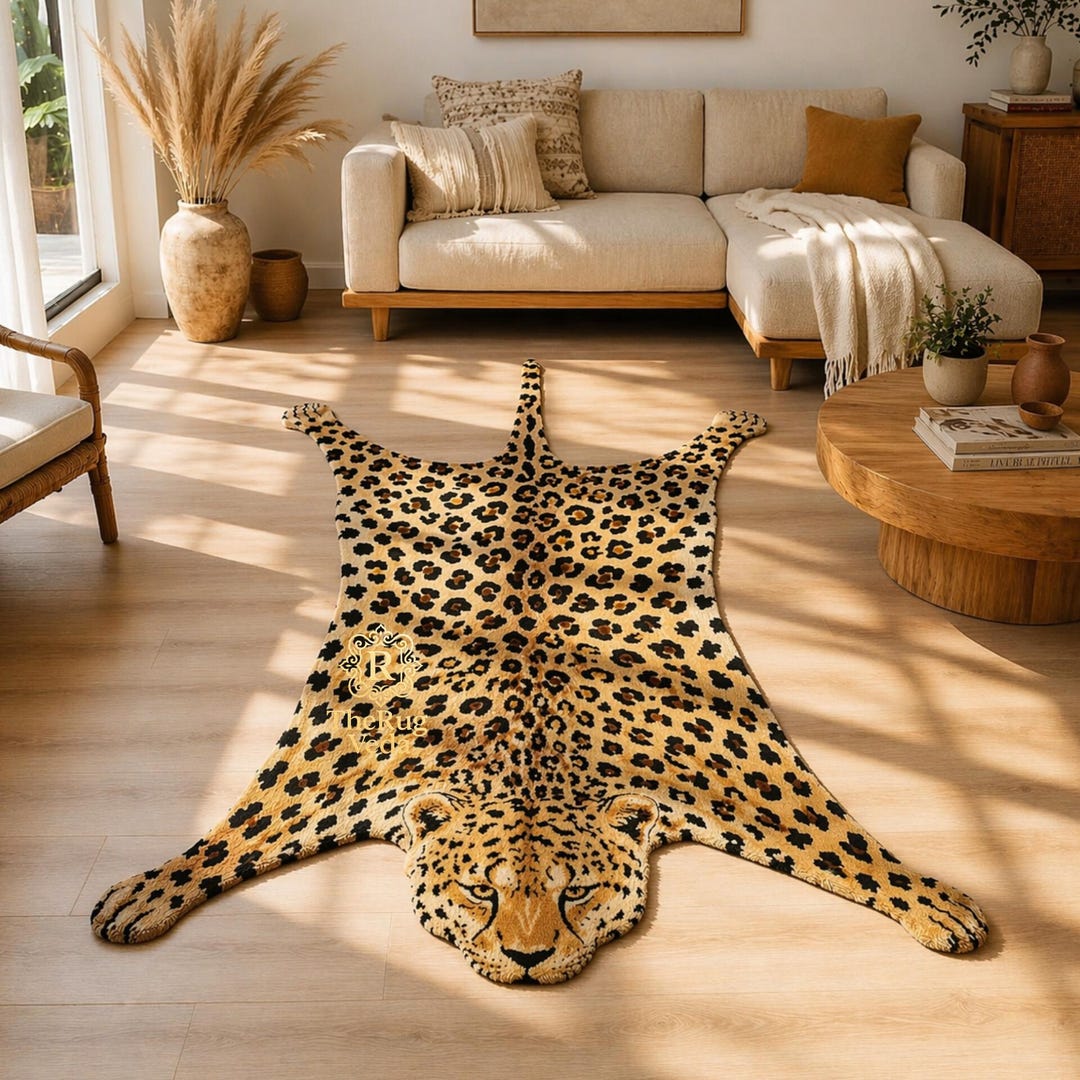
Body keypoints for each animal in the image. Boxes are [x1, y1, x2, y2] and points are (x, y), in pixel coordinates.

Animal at [91, 361, 987, 981]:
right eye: (478, 892)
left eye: (578, 892)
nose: (527, 963)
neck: (527, 764)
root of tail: (529, 464)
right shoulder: (326, 775)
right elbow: (233, 837)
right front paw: (149, 892)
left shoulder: (744, 780)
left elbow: (846, 847)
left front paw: (936, 904)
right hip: (389, 481)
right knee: (352, 446)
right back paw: (311, 408)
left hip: (664, 484)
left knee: (697, 451)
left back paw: (734, 417)